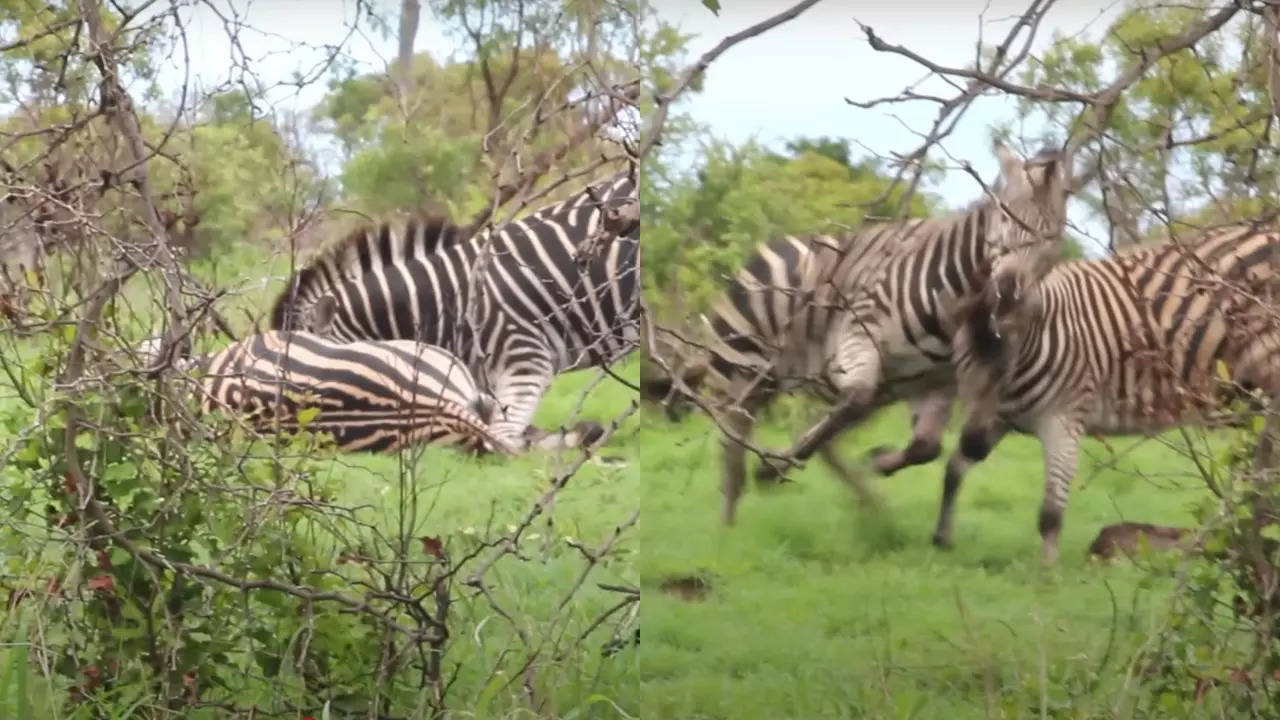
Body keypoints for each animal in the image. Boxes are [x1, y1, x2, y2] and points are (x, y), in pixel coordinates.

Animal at [706, 141, 1077, 525]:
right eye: (1004, 216)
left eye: (1052, 233)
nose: (1007, 294)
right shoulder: (858, 335)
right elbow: (856, 402)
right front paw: (774, 467)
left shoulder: (933, 382)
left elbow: (925, 447)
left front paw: (877, 462)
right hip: (742, 366)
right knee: (733, 445)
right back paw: (728, 525)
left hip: (821, 383)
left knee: (821, 436)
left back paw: (857, 498)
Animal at [938, 221, 1280, 566]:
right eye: (962, 365)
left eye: (1005, 367)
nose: (972, 440)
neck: (1041, 337)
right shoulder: (1000, 416)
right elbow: (953, 469)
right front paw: (942, 539)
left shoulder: (1065, 417)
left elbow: (1050, 511)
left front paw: (1048, 572)